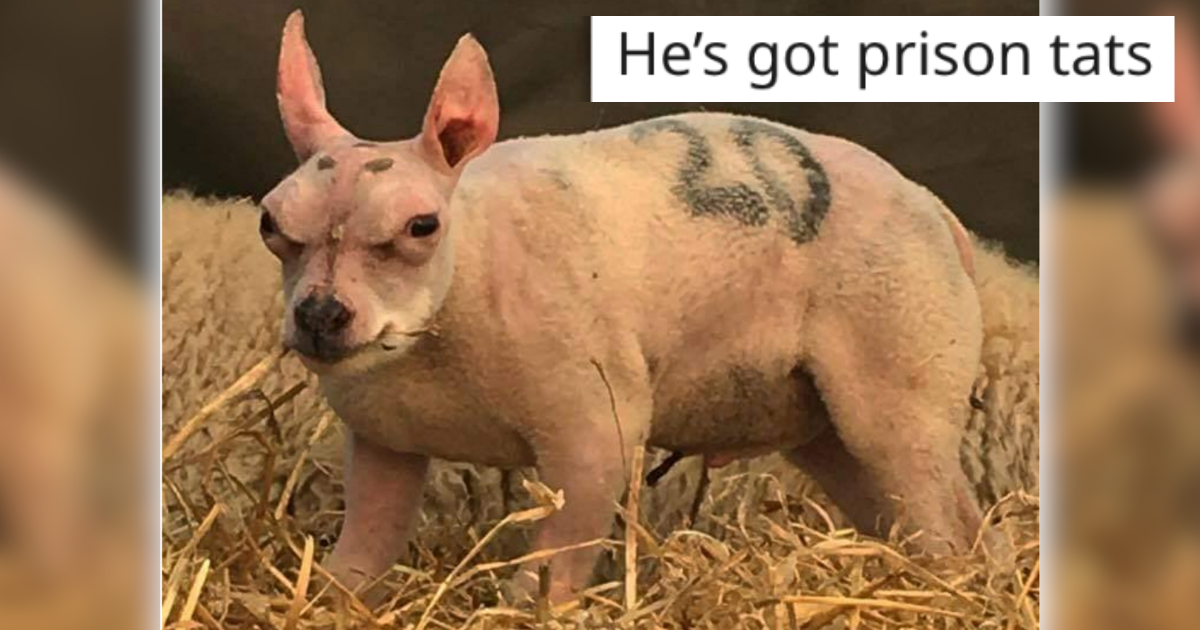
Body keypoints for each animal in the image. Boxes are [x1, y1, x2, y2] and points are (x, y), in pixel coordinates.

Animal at [261, 10, 986, 603]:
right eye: (271, 223)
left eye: (420, 227)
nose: (321, 316)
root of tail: (937, 212)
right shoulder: (383, 438)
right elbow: (365, 548)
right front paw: (332, 599)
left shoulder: (593, 423)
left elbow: (555, 562)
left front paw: (529, 610)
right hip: (825, 426)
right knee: (934, 513)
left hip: (899, 372)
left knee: (938, 511)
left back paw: (950, 591)